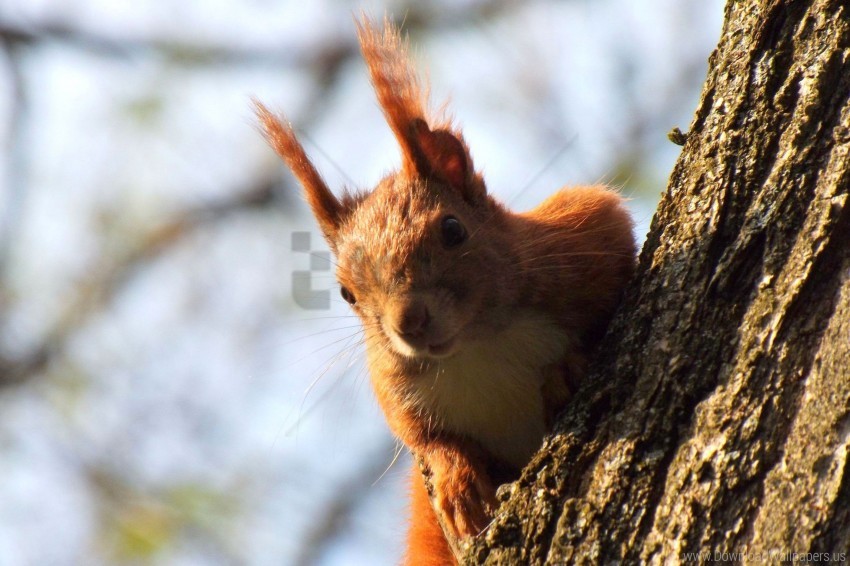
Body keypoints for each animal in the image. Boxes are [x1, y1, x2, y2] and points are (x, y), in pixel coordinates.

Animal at [255, 16, 636, 566]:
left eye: (453, 230)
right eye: (347, 293)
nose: (409, 322)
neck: (477, 345)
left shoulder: (583, 234)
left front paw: (567, 367)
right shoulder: (392, 379)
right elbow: (420, 435)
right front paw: (457, 477)